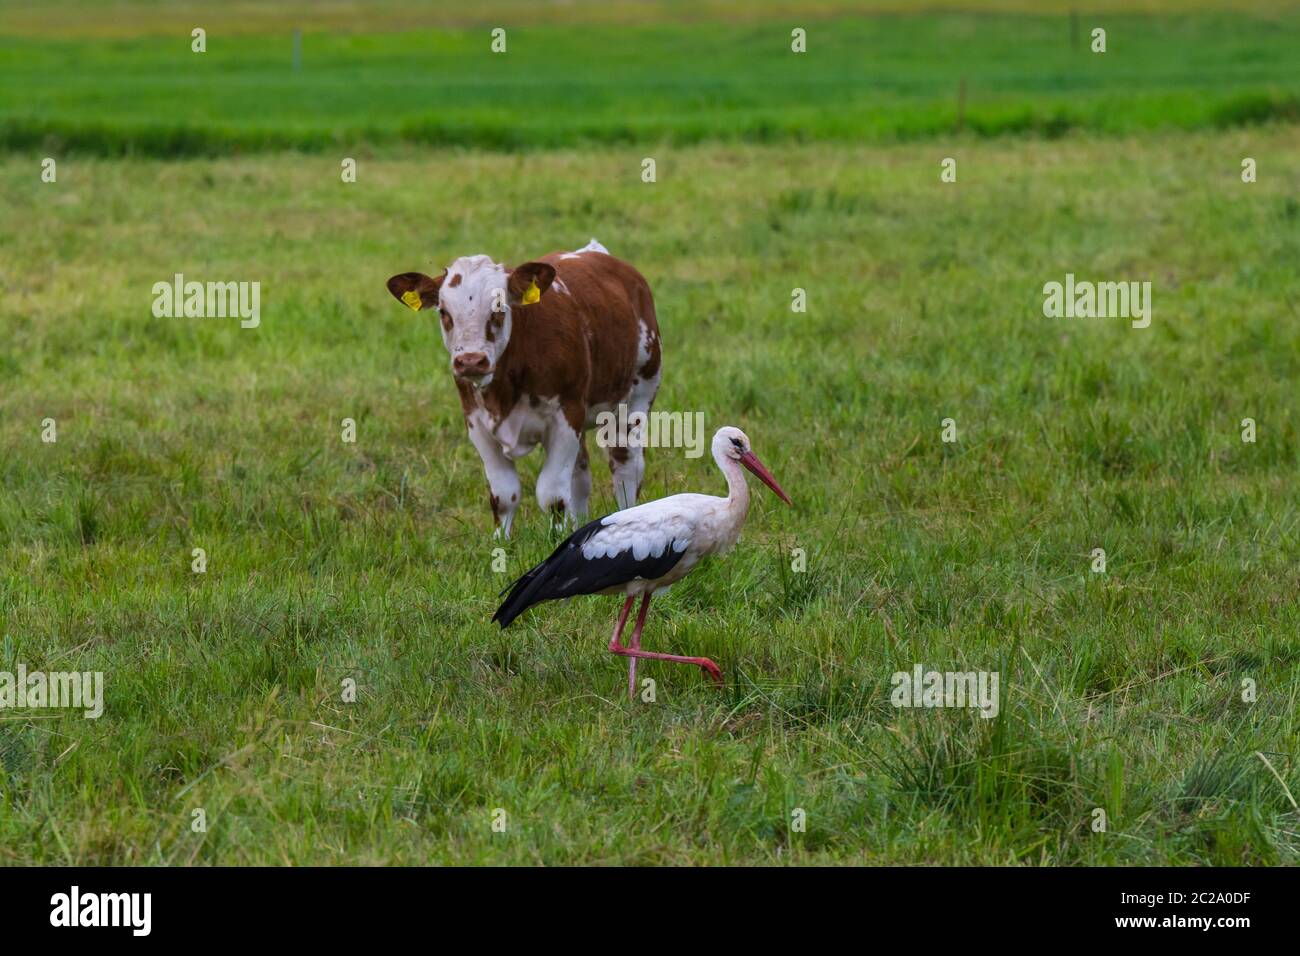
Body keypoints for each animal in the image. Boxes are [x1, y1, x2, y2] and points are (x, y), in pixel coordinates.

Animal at [386, 239, 662, 537]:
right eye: (444, 312)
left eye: (498, 309)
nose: (470, 361)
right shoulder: (477, 423)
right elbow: (504, 494)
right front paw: (502, 540)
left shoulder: (566, 416)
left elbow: (552, 494)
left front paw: (555, 540)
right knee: (580, 474)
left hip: (638, 395)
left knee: (625, 464)